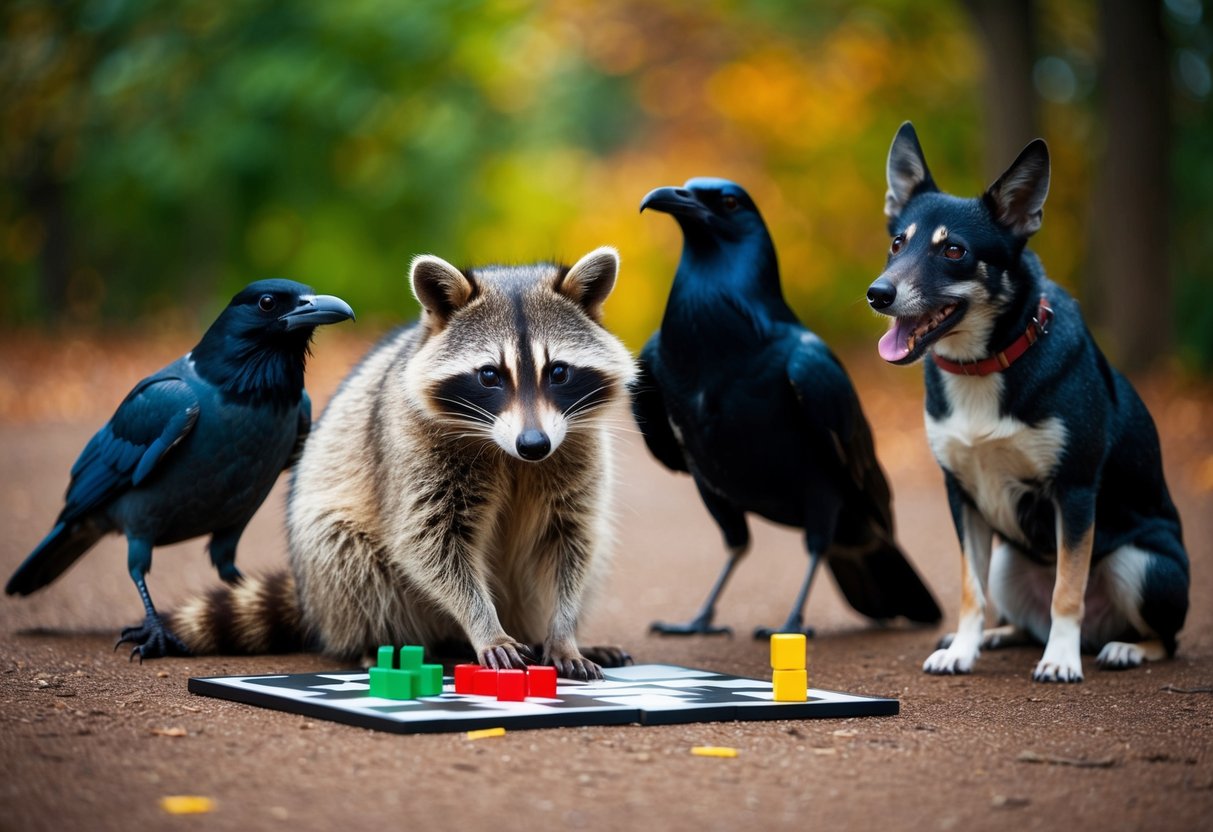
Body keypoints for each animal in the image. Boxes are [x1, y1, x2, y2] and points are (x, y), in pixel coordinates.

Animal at [171, 247, 637, 679]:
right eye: (490, 375)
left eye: (558, 372)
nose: (535, 445)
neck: (507, 451)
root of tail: (313, 605)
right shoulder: (412, 449)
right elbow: (431, 543)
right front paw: (484, 625)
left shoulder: (577, 446)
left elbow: (571, 542)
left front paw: (563, 632)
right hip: (330, 565)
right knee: (349, 558)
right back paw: (379, 643)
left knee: (593, 550)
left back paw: (540, 635)